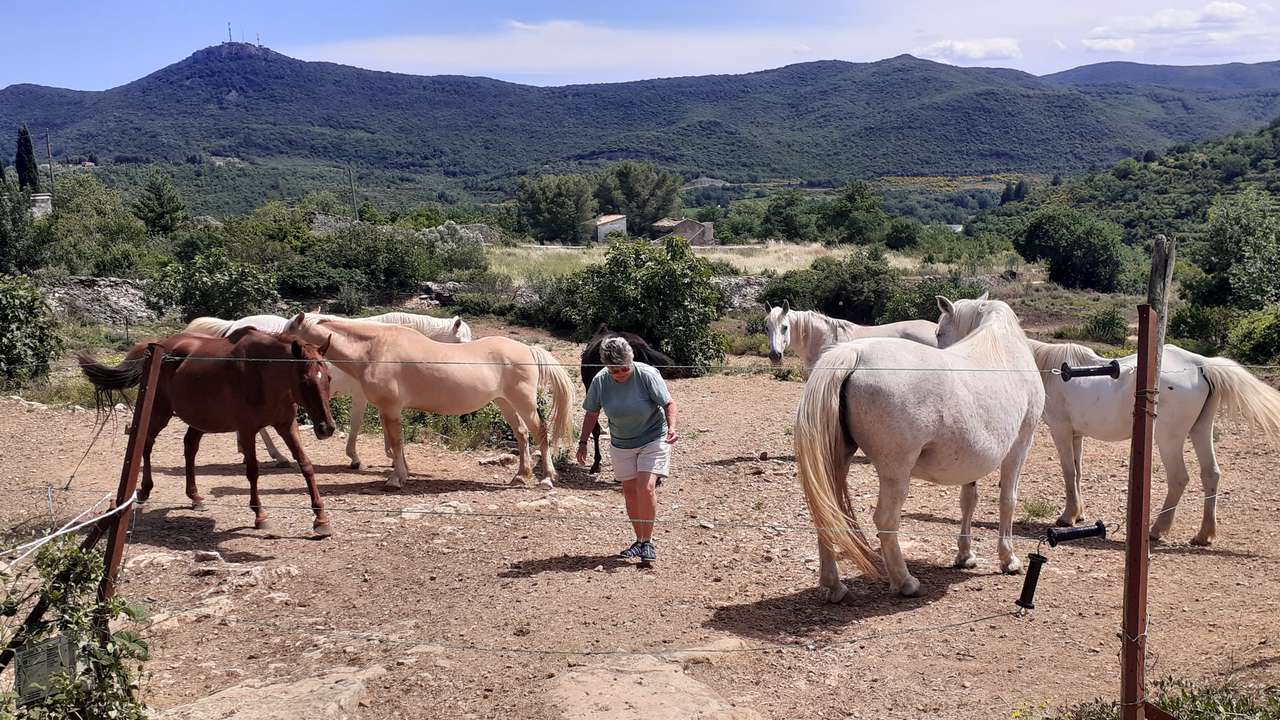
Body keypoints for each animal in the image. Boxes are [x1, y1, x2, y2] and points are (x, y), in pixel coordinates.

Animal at [77, 329, 338, 536]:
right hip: (160, 412)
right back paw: (145, 489)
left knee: (189, 446)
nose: (326, 428)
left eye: (328, 377)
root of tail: (159, 347)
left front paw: (321, 519)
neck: (262, 373)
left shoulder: (286, 425)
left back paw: (195, 497)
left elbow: (305, 465)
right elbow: (253, 471)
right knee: (148, 442)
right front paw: (259, 515)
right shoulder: (247, 430)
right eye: (305, 381)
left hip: (199, 418)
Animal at [185, 311, 472, 469]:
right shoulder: (361, 397)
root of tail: (234, 326)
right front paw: (356, 458)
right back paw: (278, 456)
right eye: (461, 341)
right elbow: (358, 425)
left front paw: (392, 455)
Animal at [280, 313, 575, 490]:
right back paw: (520, 476)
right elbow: (395, 443)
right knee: (522, 434)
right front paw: (402, 472)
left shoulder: (390, 408)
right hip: (504, 402)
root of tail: (528, 348)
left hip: (522, 402)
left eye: (290, 328)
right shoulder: (388, 410)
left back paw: (547, 478)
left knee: (540, 432)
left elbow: (396, 442)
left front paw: (396, 479)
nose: (274, 344)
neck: (374, 349)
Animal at [793, 293, 1044, 602]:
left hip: (836, 461)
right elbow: (1008, 500)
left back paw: (834, 586)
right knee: (886, 519)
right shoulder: (1019, 446)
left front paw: (965, 555)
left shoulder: (973, 463)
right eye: (938, 332)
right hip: (896, 472)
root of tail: (854, 353)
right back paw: (905, 582)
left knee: (826, 513)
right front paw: (1008, 560)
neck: (1001, 347)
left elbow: (968, 501)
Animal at [1026, 339, 1280, 544]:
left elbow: (1069, 472)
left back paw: (1157, 529)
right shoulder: (1076, 435)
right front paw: (1079, 514)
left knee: (1179, 478)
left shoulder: (1061, 430)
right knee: (1211, 474)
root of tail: (1201, 364)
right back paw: (1203, 535)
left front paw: (1067, 517)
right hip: (1200, 430)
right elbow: (1078, 472)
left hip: (1169, 439)